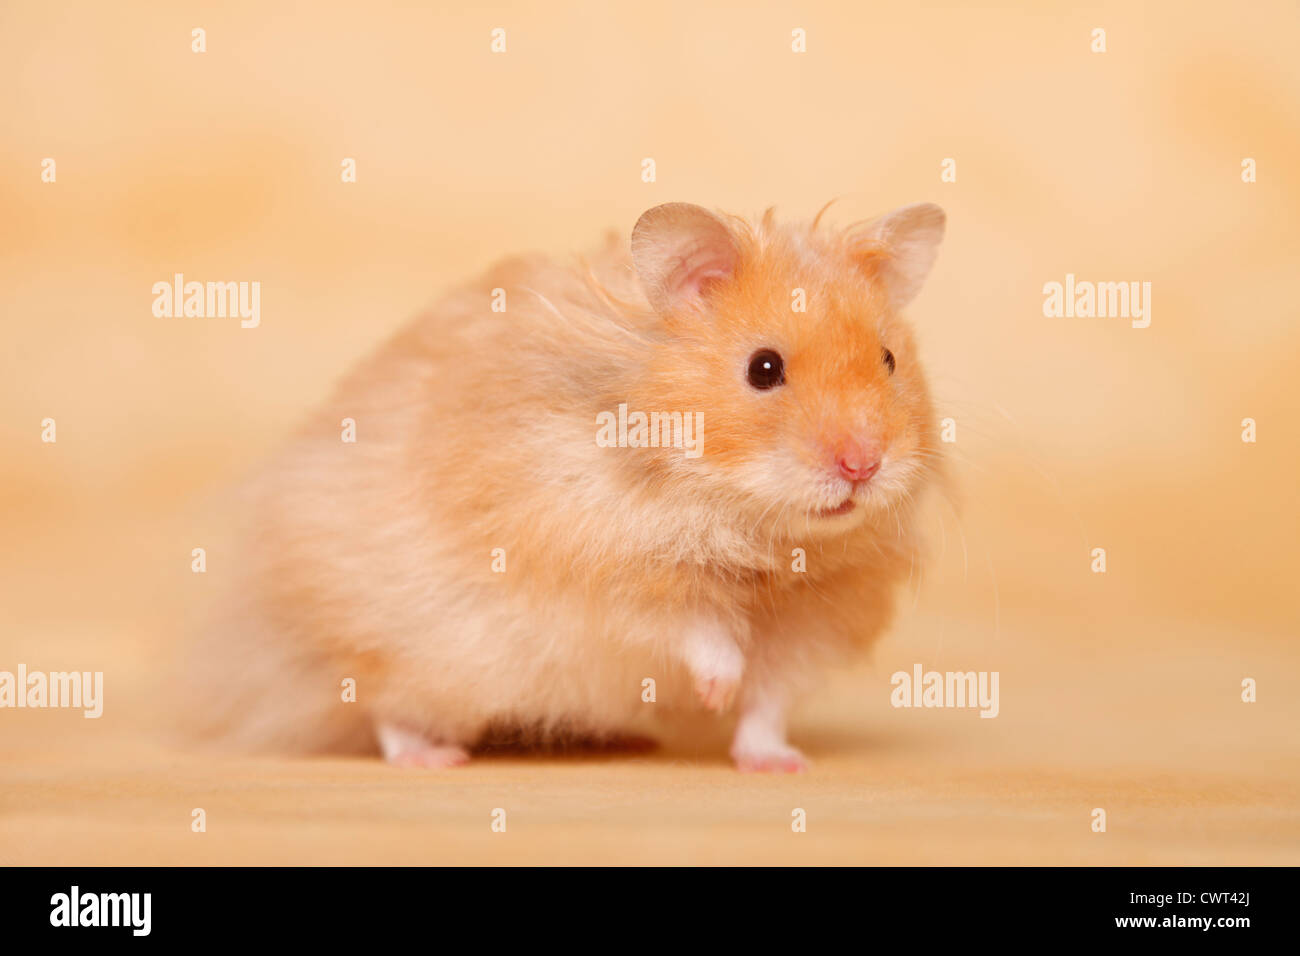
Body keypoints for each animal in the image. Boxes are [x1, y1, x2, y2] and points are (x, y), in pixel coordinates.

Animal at [191, 200, 947, 772]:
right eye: (764, 368)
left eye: (888, 359)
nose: (864, 466)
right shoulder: (599, 565)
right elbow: (696, 625)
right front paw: (713, 689)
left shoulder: (812, 620)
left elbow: (768, 702)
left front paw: (779, 763)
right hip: (394, 642)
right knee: (386, 708)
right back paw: (434, 758)